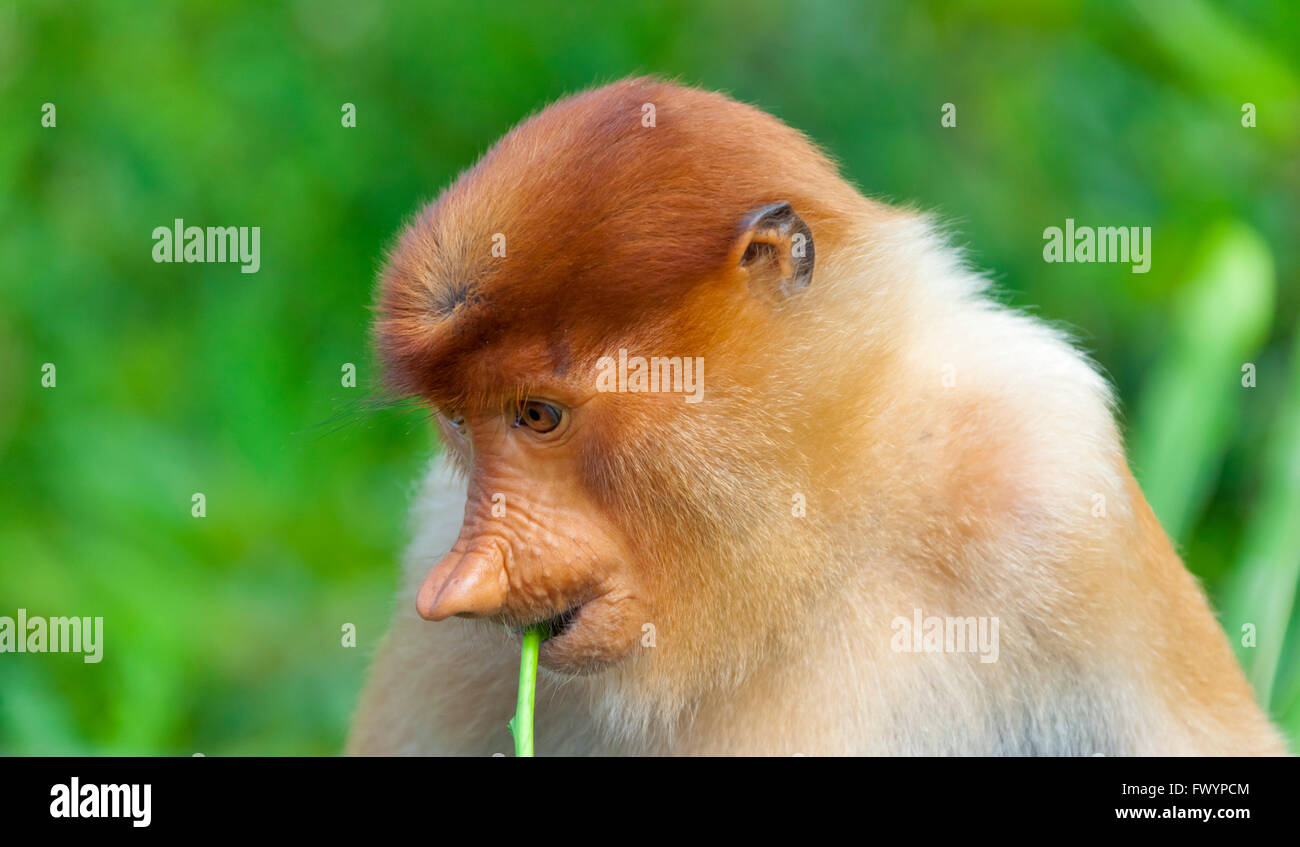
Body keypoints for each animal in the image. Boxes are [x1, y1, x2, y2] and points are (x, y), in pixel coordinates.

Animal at [347, 77, 1286, 756]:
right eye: (461, 421)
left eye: (538, 415)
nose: (456, 585)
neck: (818, 530)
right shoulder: (430, 533)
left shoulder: (1046, 469)